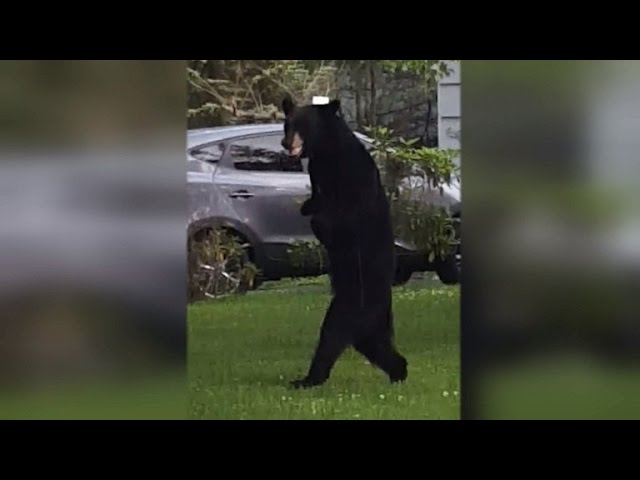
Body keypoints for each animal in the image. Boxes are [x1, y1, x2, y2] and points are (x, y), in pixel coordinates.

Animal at [280, 95, 408, 389]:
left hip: (351, 306)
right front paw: (308, 206)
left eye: (303, 125)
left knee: (331, 337)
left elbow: (340, 221)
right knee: (375, 346)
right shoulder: (317, 173)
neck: (327, 151)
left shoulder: (352, 181)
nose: (286, 143)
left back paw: (309, 380)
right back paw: (398, 372)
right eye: (287, 124)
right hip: (367, 323)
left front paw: (318, 218)